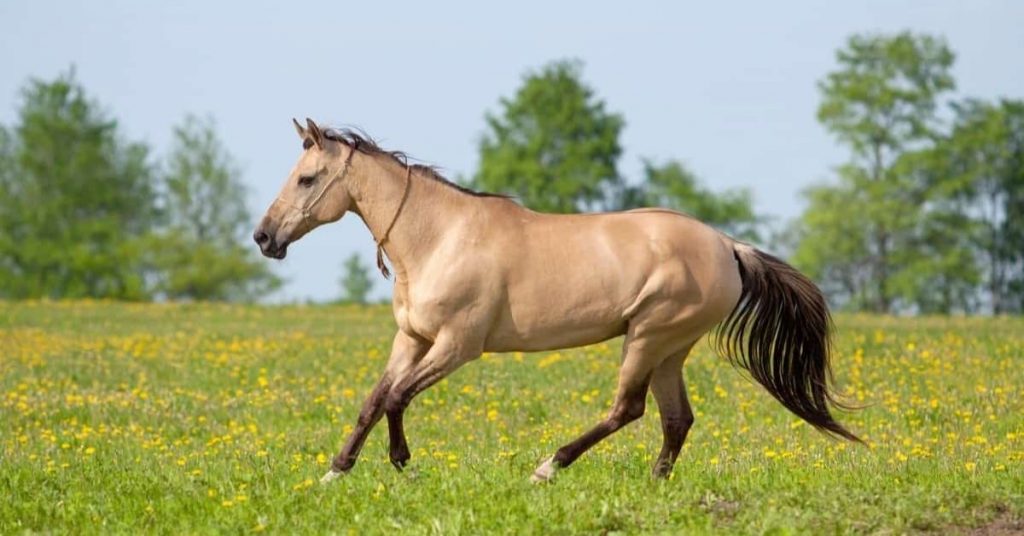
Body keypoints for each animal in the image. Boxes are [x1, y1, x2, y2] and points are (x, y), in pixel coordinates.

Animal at [254, 118, 859, 484]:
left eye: (307, 179)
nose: (264, 238)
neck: (440, 238)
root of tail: (728, 246)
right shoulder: (413, 338)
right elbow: (373, 401)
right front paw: (335, 472)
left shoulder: (457, 346)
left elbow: (399, 398)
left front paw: (404, 465)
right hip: (671, 349)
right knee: (676, 419)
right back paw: (655, 484)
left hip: (649, 336)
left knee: (628, 410)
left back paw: (548, 467)